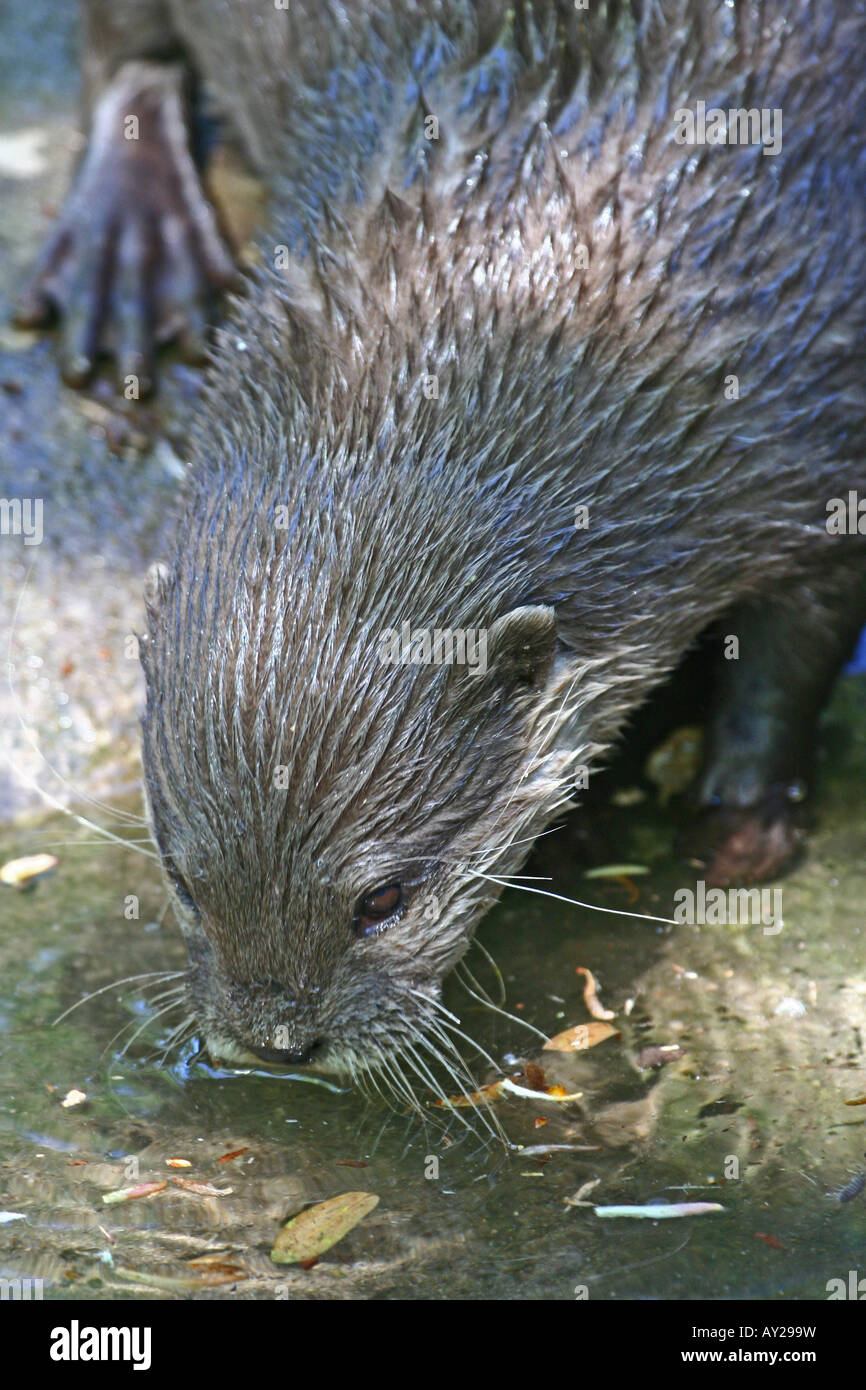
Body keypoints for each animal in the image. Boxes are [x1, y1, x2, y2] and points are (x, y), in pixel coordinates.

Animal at [19, 1, 866, 1087]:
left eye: (383, 899)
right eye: (184, 880)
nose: (280, 1041)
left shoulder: (821, 404)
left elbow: (795, 649)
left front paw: (740, 823)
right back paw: (126, 238)